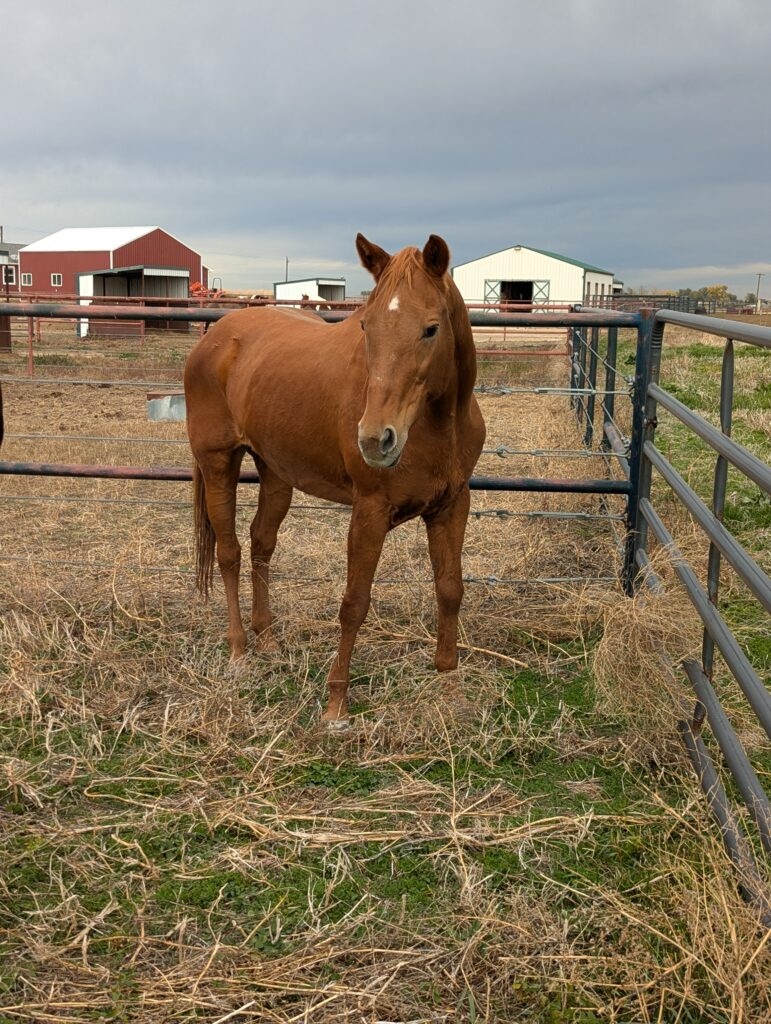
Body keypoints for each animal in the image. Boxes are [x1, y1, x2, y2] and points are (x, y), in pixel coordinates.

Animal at [184, 234, 486, 725]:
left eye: (431, 329)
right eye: (366, 327)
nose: (375, 439)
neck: (438, 425)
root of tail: (216, 336)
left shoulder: (452, 505)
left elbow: (450, 590)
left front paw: (450, 685)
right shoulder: (369, 512)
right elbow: (354, 603)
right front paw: (336, 704)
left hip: (276, 471)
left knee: (261, 544)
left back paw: (268, 638)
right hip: (217, 463)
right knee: (230, 553)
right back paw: (239, 651)